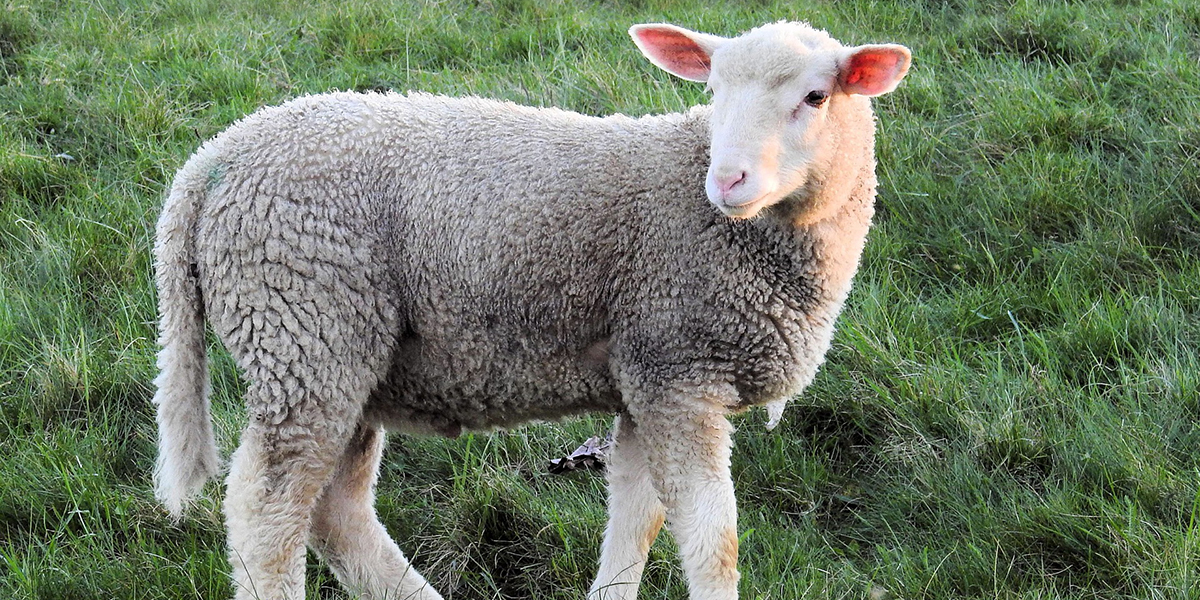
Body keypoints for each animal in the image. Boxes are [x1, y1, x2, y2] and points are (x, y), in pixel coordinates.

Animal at [151, 19, 910, 600]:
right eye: (713, 91)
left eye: (816, 97)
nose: (727, 179)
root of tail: (209, 162)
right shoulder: (679, 371)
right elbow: (711, 540)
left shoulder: (646, 375)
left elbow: (635, 520)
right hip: (304, 326)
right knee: (267, 515)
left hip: (341, 353)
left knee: (336, 513)